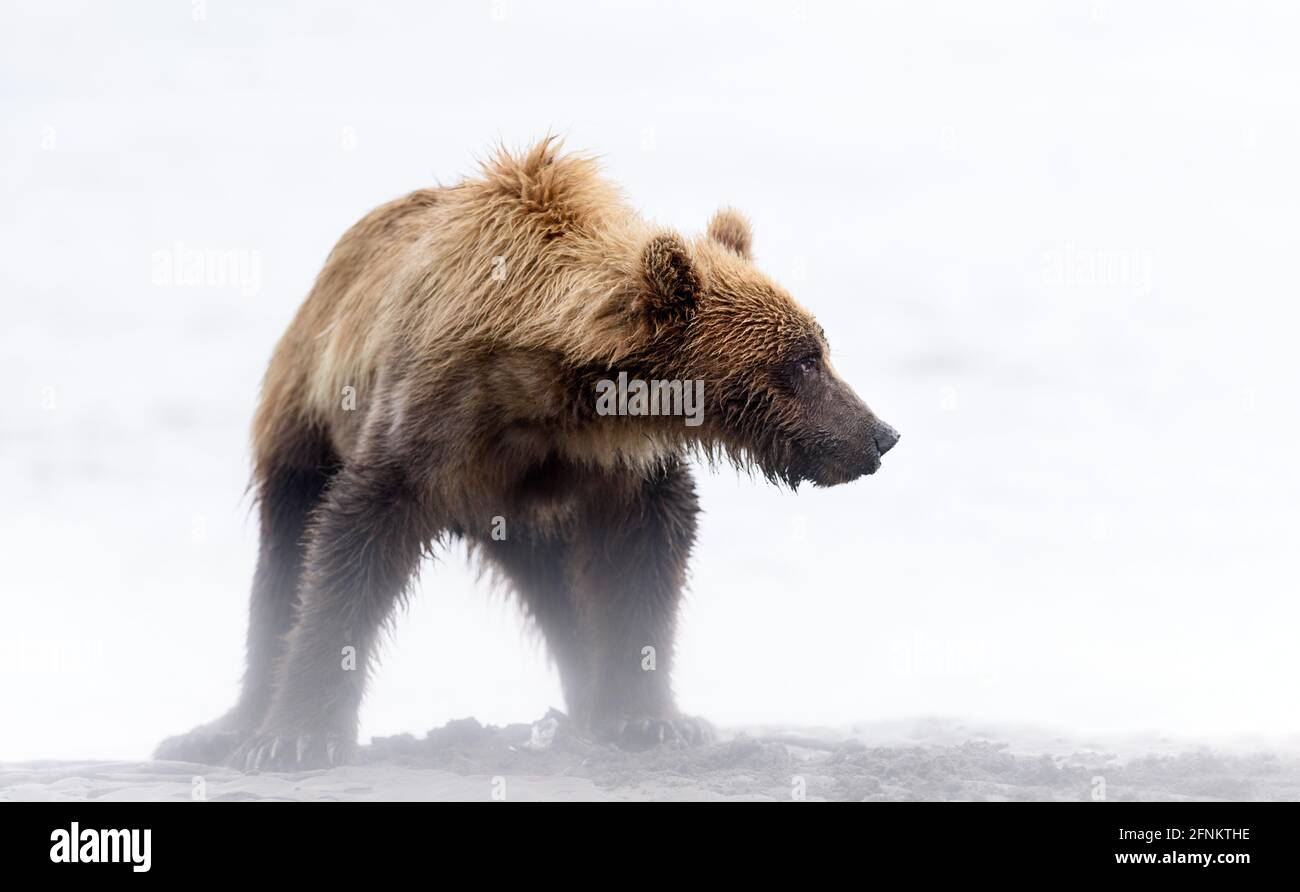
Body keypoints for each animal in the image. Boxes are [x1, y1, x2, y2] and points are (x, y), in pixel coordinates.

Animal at [154, 138, 899, 770]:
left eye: (820, 345)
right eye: (803, 359)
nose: (880, 434)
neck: (556, 389)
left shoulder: (616, 461)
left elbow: (647, 553)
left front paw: (648, 717)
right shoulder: (431, 424)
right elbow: (351, 542)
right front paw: (297, 738)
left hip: (513, 514)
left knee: (556, 586)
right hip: (304, 418)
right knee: (284, 553)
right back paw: (229, 725)